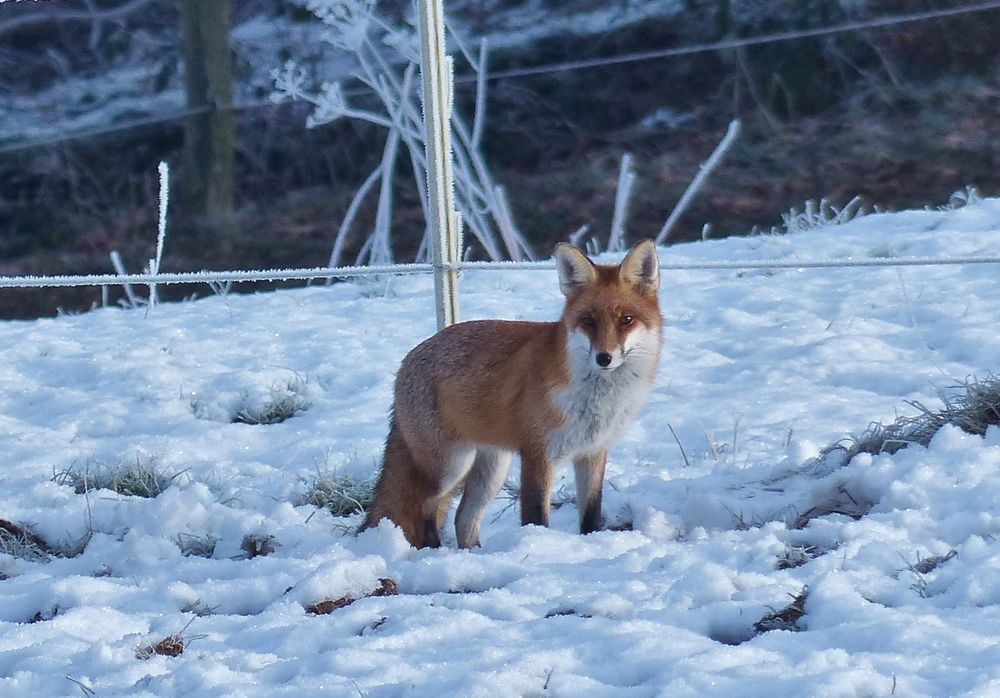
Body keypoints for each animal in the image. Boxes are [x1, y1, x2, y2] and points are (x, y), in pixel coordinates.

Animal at [362, 239, 662, 548]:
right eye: (588, 321)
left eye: (626, 320)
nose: (604, 358)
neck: (595, 400)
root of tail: (407, 360)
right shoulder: (537, 454)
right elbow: (535, 517)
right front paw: (537, 544)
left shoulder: (593, 452)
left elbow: (591, 513)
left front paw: (591, 542)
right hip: (451, 467)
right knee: (426, 507)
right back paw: (436, 551)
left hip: (491, 470)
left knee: (462, 519)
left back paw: (474, 555)